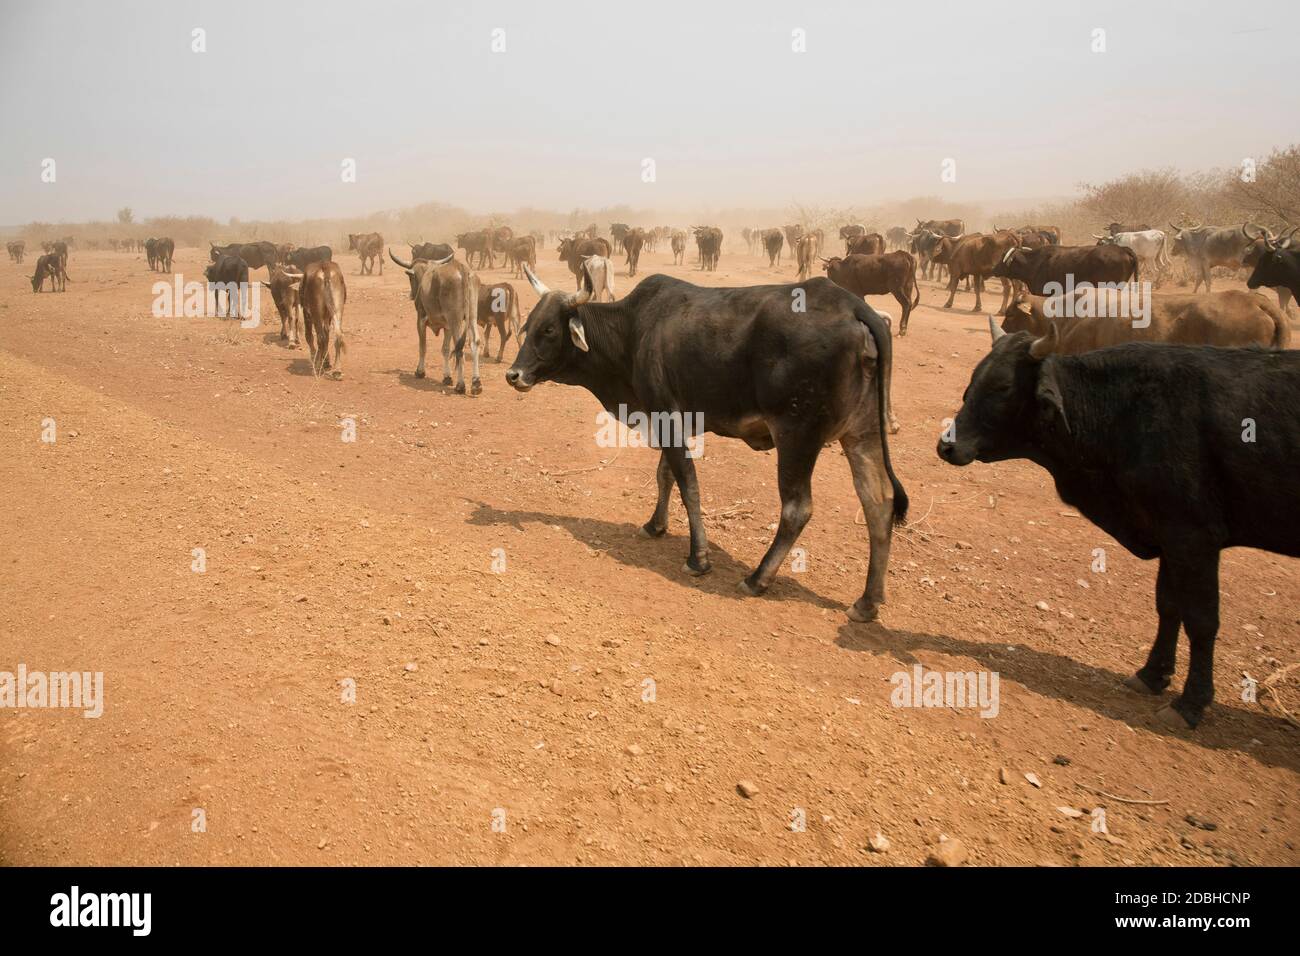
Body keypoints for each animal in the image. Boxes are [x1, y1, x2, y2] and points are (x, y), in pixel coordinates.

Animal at [389, 248, 480, 393]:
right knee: (475, 342)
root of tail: (461, 269)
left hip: (456, 320)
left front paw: (420, 371)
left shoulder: (420, 320)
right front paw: (447, 377)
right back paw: (476, 383)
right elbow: (445, 349)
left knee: (459, 348)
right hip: (471, 317)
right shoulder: (447, 326)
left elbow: (423, 346)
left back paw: (460, 385)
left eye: (410, 277)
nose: (411, 295)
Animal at [509, 265, 907, 624]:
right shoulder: (676, 422)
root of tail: (855, 307)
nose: (513, 375)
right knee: (879, 502)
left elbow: (688, 484)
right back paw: (867, 601)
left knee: (797, 509)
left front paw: (698, 558)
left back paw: (757, 578)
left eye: (548, 329)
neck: (631, 329)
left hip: (797, 435)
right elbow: (665, 476)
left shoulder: (666, 416)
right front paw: (655, 525)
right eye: (527, 326)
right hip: (862, 433)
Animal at [938, 320, 1300, 729]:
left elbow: (1202, 620)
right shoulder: (1169, 533)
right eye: (974, 378)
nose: (947, 446)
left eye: (1002, 387)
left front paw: (1190, 704)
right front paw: (1152, 675)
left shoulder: (1194, 536)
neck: (1121, 408)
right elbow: (1168, 605)